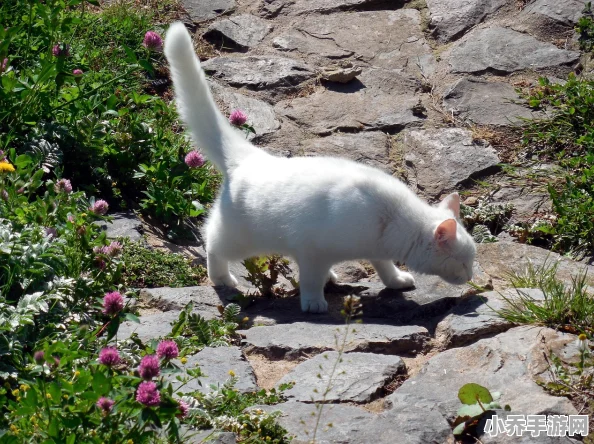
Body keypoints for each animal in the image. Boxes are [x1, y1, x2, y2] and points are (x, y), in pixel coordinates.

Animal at [163, 21, 476, 312]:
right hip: (239, 237)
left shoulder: (372, 249)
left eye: (472, 262)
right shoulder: (313, 251)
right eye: (463, 263)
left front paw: (397, 280)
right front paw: (314, 302)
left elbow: (384, 265)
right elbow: (311, 279)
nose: (471, 277)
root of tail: (252, 156)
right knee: (212, 243)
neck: (393, 221)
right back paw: (222, 278)